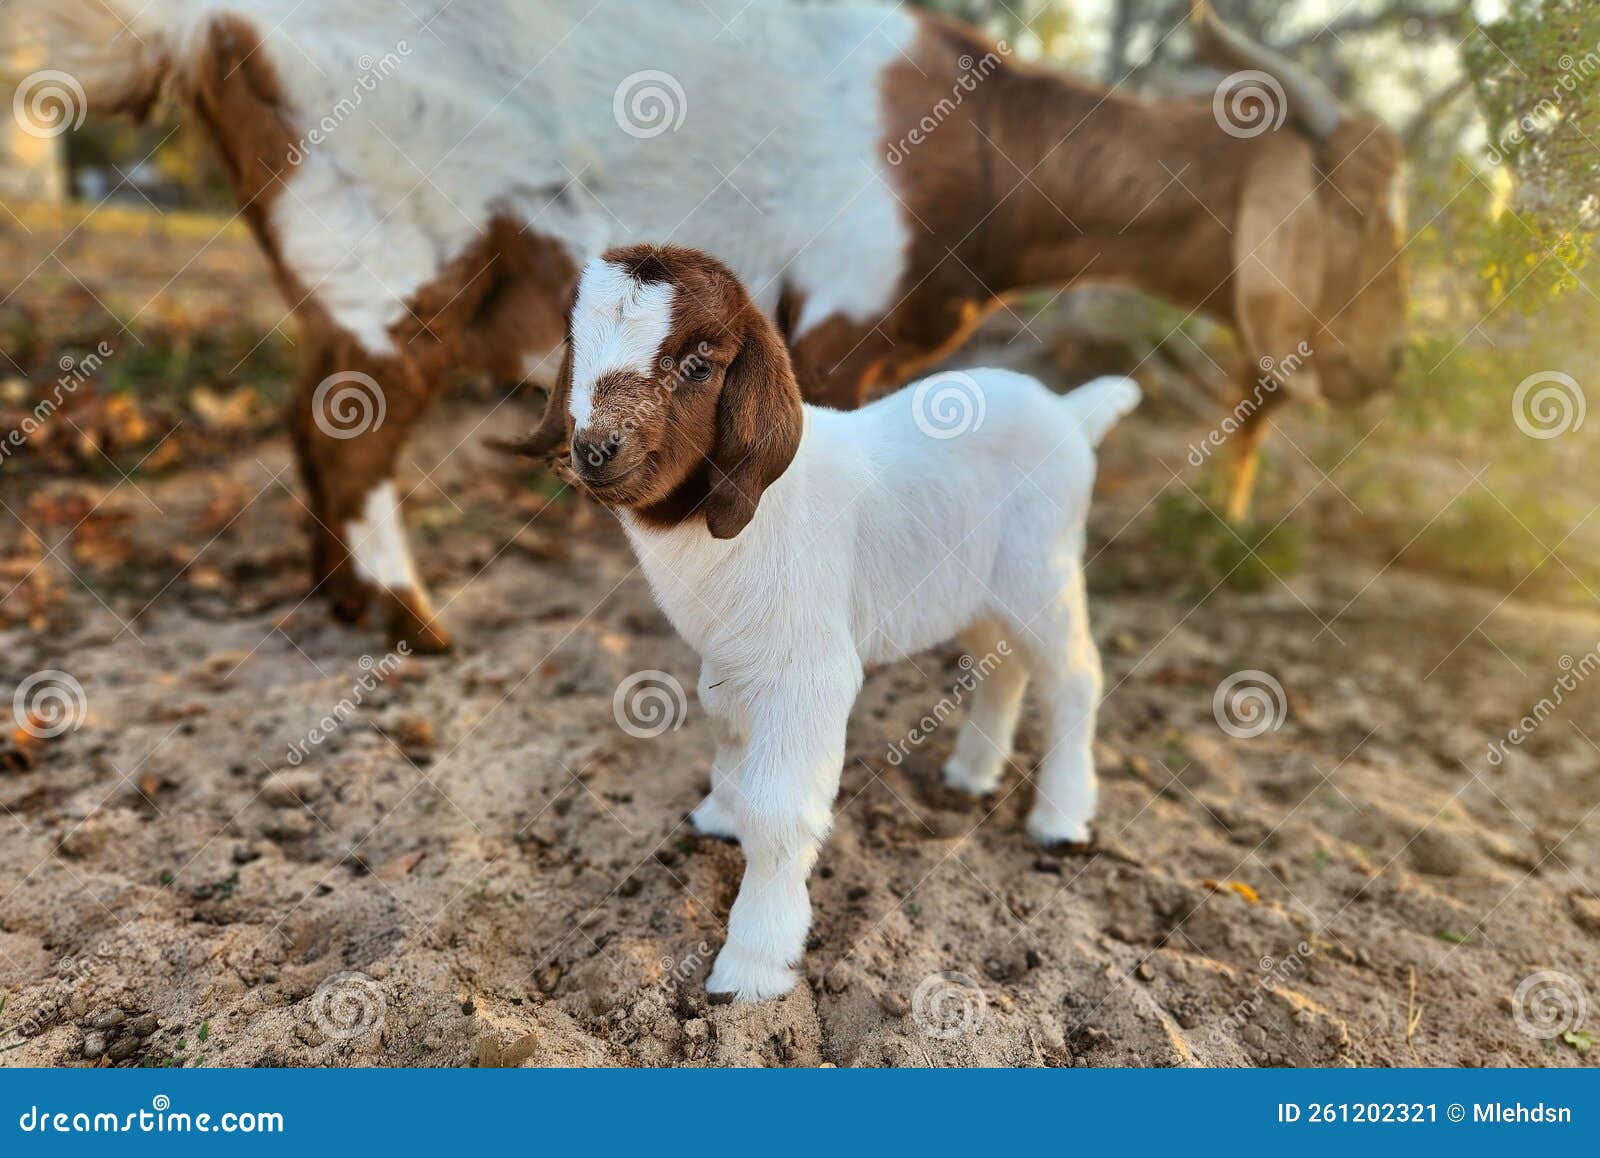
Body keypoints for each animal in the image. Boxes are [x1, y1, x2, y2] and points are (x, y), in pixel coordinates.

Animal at [7, 0, 1403, 652]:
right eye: (1355, 206)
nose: (1381, 362)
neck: (984, 141)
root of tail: (206, 25)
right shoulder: (832, 315)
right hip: (399, 235)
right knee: (351, 437)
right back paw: (412, 621)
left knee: (315, 430)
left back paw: (348, 604)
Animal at [499, 244, 1139, 1000]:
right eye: (576, 342)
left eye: (698, 365)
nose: (595, 450)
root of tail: (1070, 413)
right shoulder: (732, 655)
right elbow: (729, 735)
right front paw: (721, 815)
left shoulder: (810, 673)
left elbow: (779, 813)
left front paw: (752, 966)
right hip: (974, 590)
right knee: (1002, 665)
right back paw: (971, 773)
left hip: (1042, 570)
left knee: (1073, 676)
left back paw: (1060, 818)